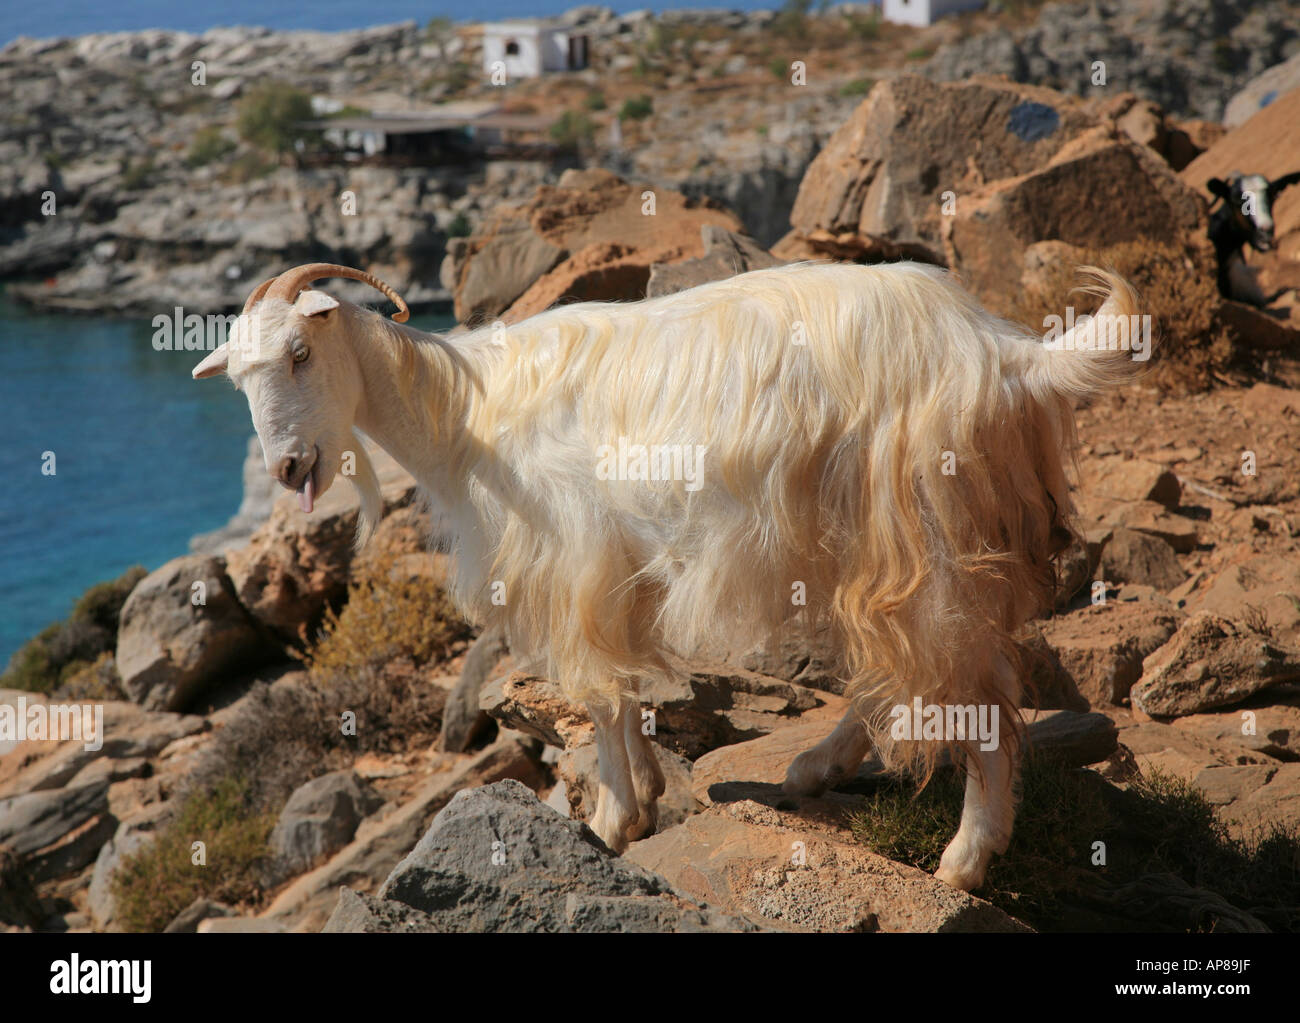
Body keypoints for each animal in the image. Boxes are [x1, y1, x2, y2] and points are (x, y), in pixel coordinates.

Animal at [193, 260, 1144, 891]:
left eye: (301, 353)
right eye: (236, 376)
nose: (286, 467)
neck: (466, 410)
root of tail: (1008, 353)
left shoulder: (573, 562)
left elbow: (598, 691)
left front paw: (613, 818)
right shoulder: (617, 572)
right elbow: (621, 692)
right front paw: (644, 792)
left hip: (919, 528)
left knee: (976, 685)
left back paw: (965, 858)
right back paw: (817, 768)